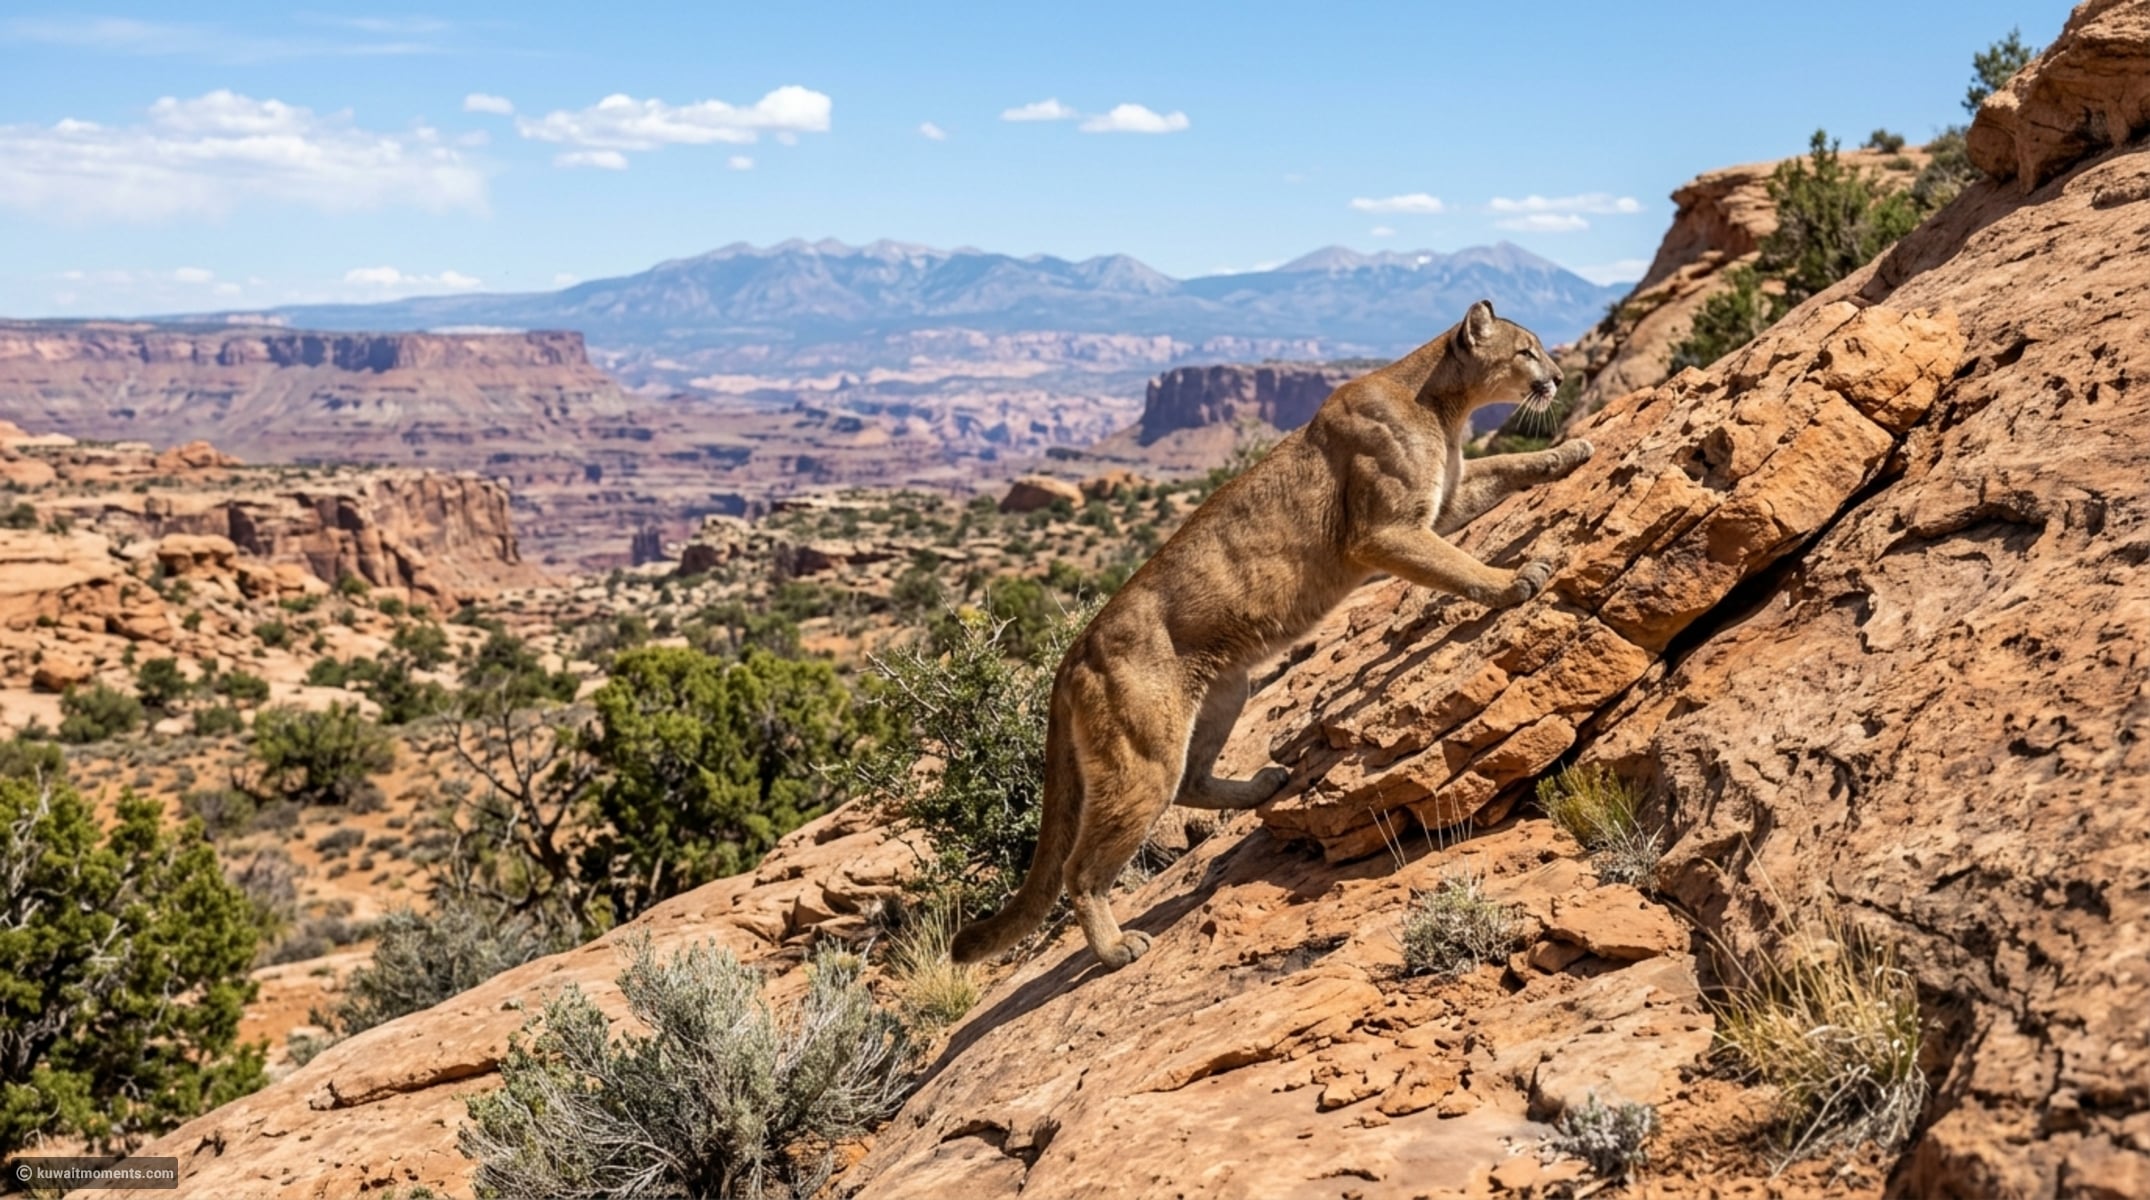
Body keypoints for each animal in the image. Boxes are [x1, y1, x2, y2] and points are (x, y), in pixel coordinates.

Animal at [952, 300, 1593, 969]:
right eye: (1526, 351)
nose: (1558, 376)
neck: (1441, 403)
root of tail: (1074, 650)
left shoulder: (1440, 505)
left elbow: (1506, 467)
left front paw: (1570, 450)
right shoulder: (1385, 531)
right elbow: (1461, 566)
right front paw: (1515, 580)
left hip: (1223, 692)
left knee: (1192, 781)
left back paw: (1262, 784)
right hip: (1141, 756)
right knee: (1082, 867)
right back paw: (1114, 948)